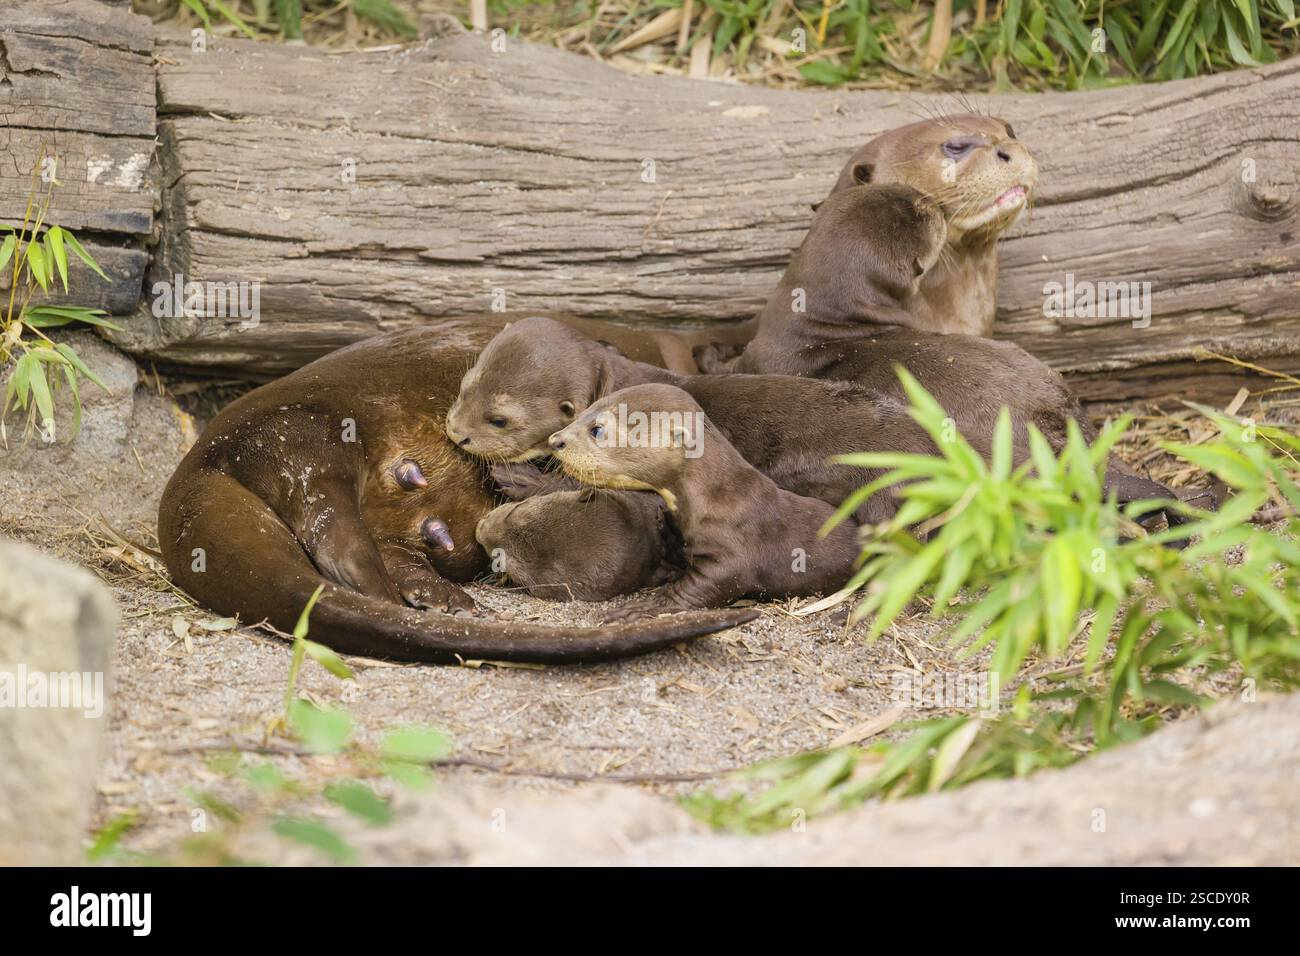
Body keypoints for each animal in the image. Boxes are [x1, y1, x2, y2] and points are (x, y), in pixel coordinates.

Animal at [546, 384, 862, 617]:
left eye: (597, 430)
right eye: (583, 412)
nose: (554, 441)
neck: (713, 496)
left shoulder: (734, 545)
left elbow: (716, 581)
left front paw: (646, 606)